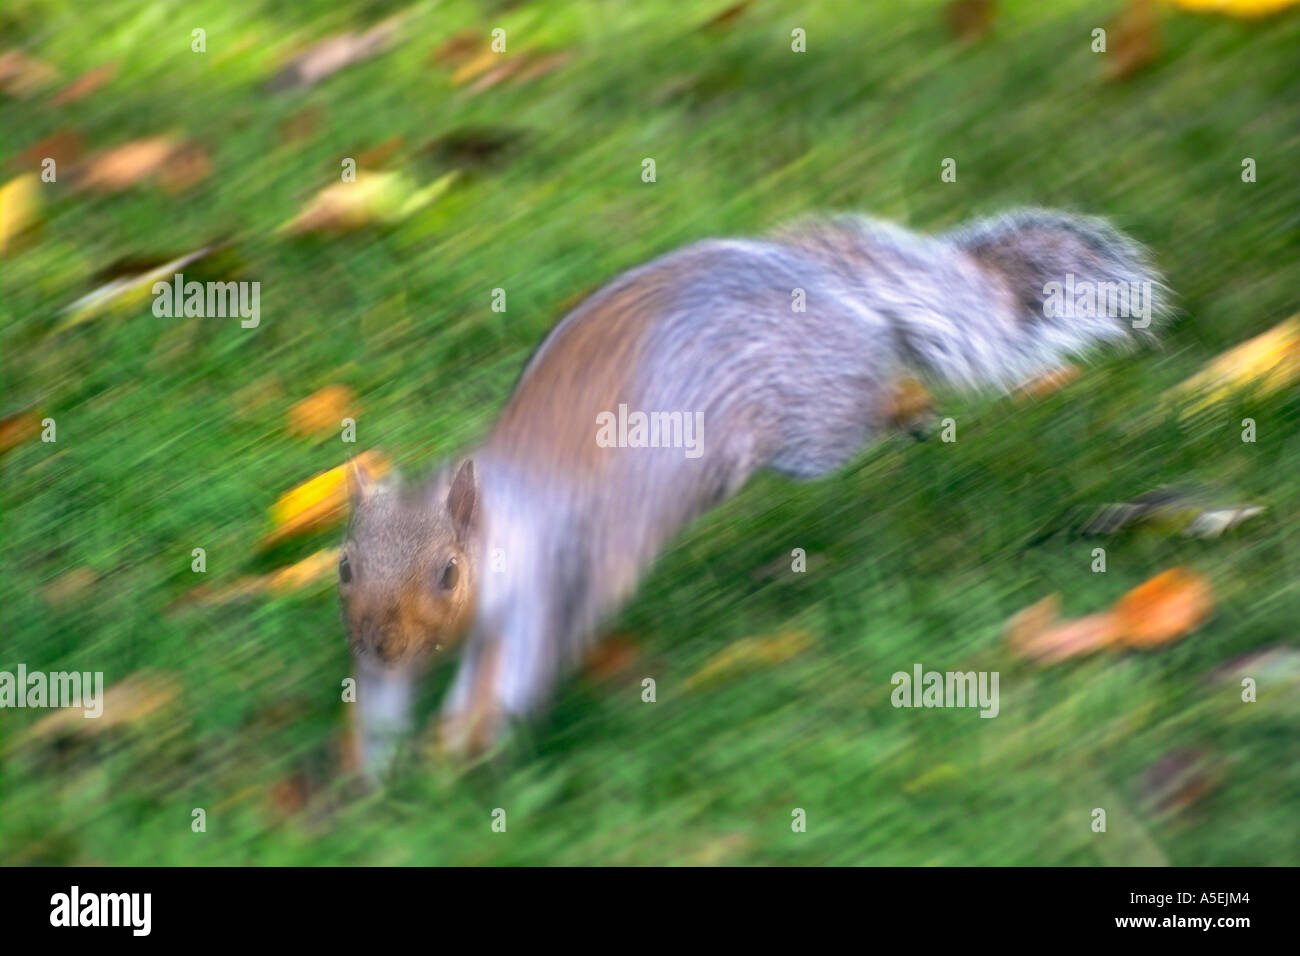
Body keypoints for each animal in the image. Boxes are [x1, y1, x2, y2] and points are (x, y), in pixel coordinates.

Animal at [339, 208, 1168, 774]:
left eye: (449, 572)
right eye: (343, 568)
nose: (378, 643)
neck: (505, 519)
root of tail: (819, 282)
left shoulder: (555, 574)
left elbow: (513, 671)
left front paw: (460, 747)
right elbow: (385, 705)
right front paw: (370, 779)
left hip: (814, 418)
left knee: (868, 396)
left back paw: (908, 406)